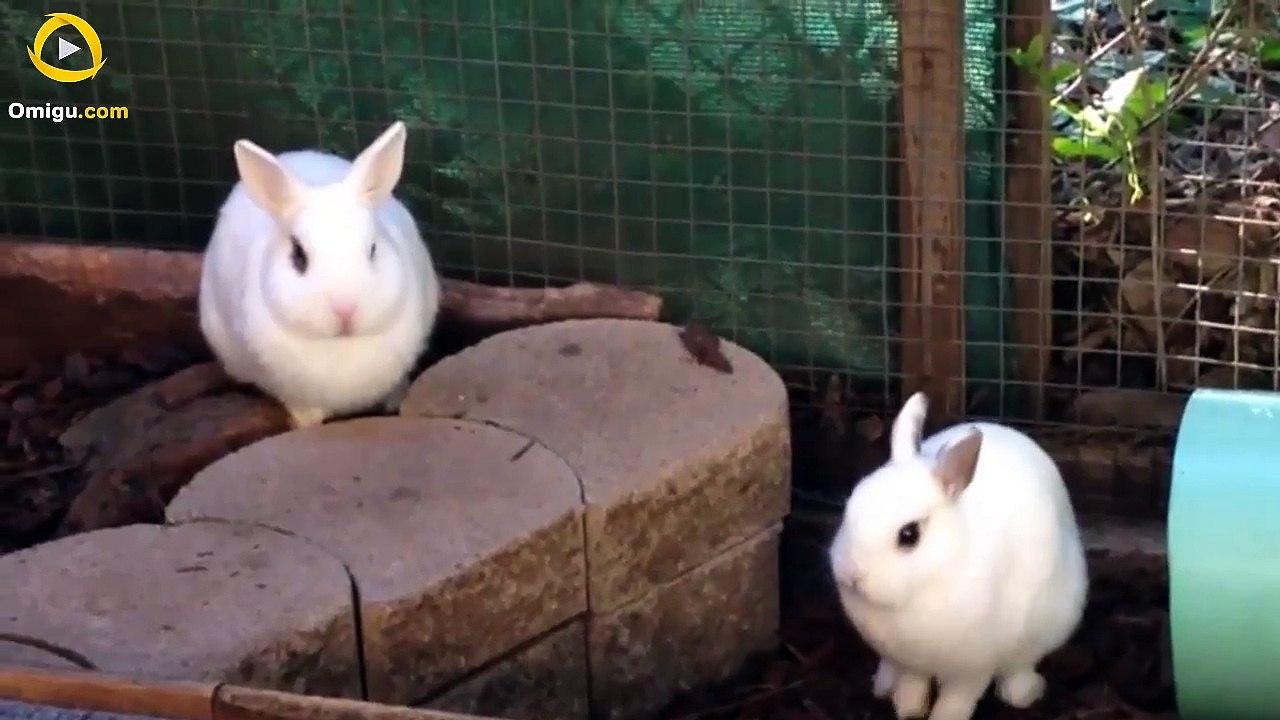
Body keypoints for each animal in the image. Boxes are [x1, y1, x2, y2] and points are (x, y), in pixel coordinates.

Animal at [827, 391, 1088, 720]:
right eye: (850, 508)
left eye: (909, 534)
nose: (850, 574)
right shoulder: (910, 662)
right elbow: (912, 685)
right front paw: (908, 710)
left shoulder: (974, 666)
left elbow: (958, 698)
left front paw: (941, 716)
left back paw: (1025, 693)